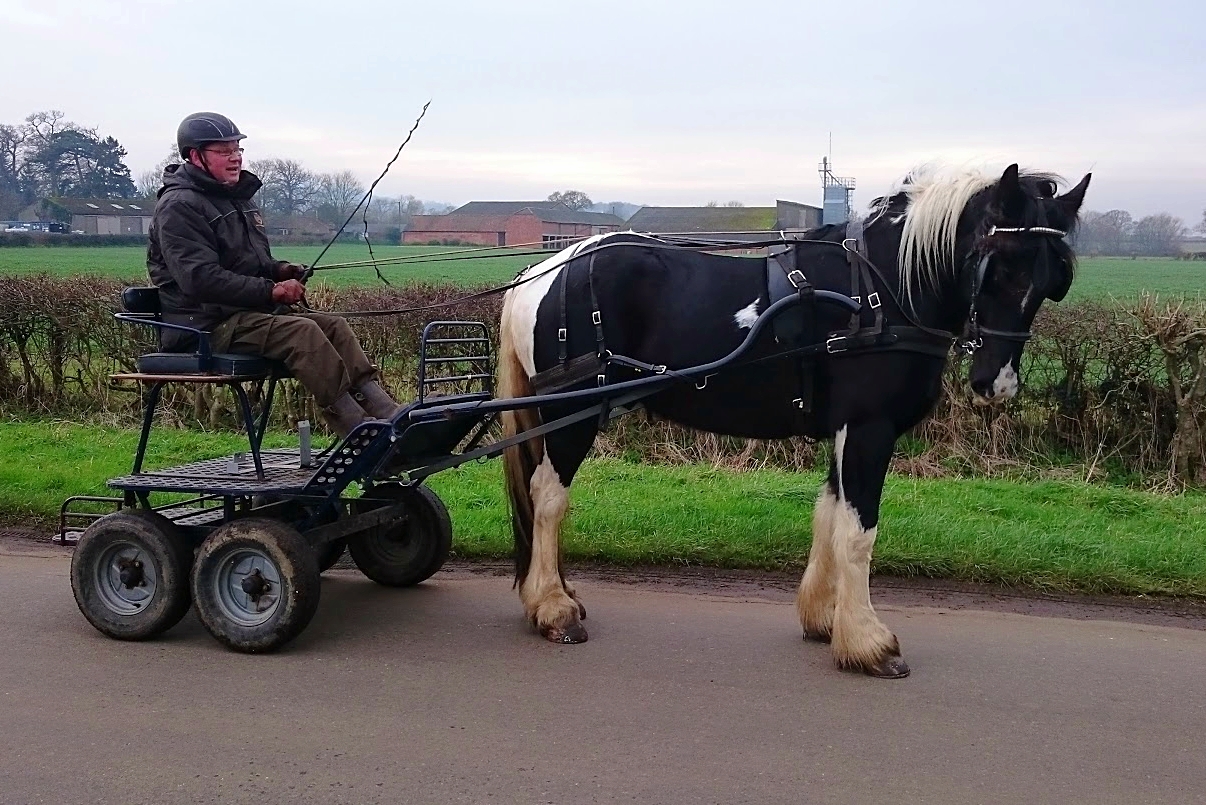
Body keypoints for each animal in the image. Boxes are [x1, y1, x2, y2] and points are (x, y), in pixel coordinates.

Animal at [497, 164, 1090, 678]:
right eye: (1001, 267)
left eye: (1055, 280)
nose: (998, 384)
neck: (880, 293)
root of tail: (542, 271)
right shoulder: (869, 428)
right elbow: (859, 531)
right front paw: (868, 641)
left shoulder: (845, 430)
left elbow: (829, 516)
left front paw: (826, 620)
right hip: (570, 414)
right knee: (548, 496)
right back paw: (553, 607)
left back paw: (559, 595)